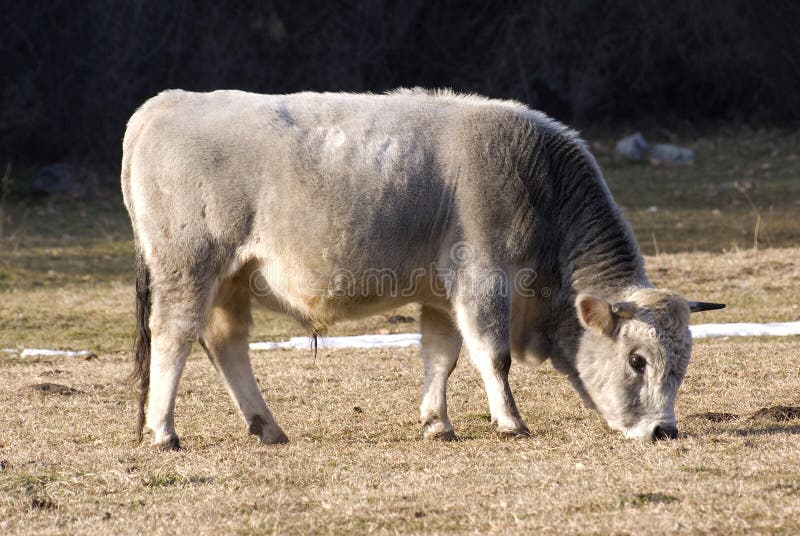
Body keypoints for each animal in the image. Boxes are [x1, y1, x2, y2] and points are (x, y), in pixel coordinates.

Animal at [122, 88, 723, 450]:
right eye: (638, 360)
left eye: (684, 363)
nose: (665, 430)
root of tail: (167, 102)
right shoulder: (483, 279)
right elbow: (492, 354)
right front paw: (510, 421)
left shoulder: (441, 295)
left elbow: (442, 356)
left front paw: (438, 422)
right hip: (189, 268)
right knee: (174, 336)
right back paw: (162, 431)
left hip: (231, 281)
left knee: (226, 344)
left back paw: (267, 426)